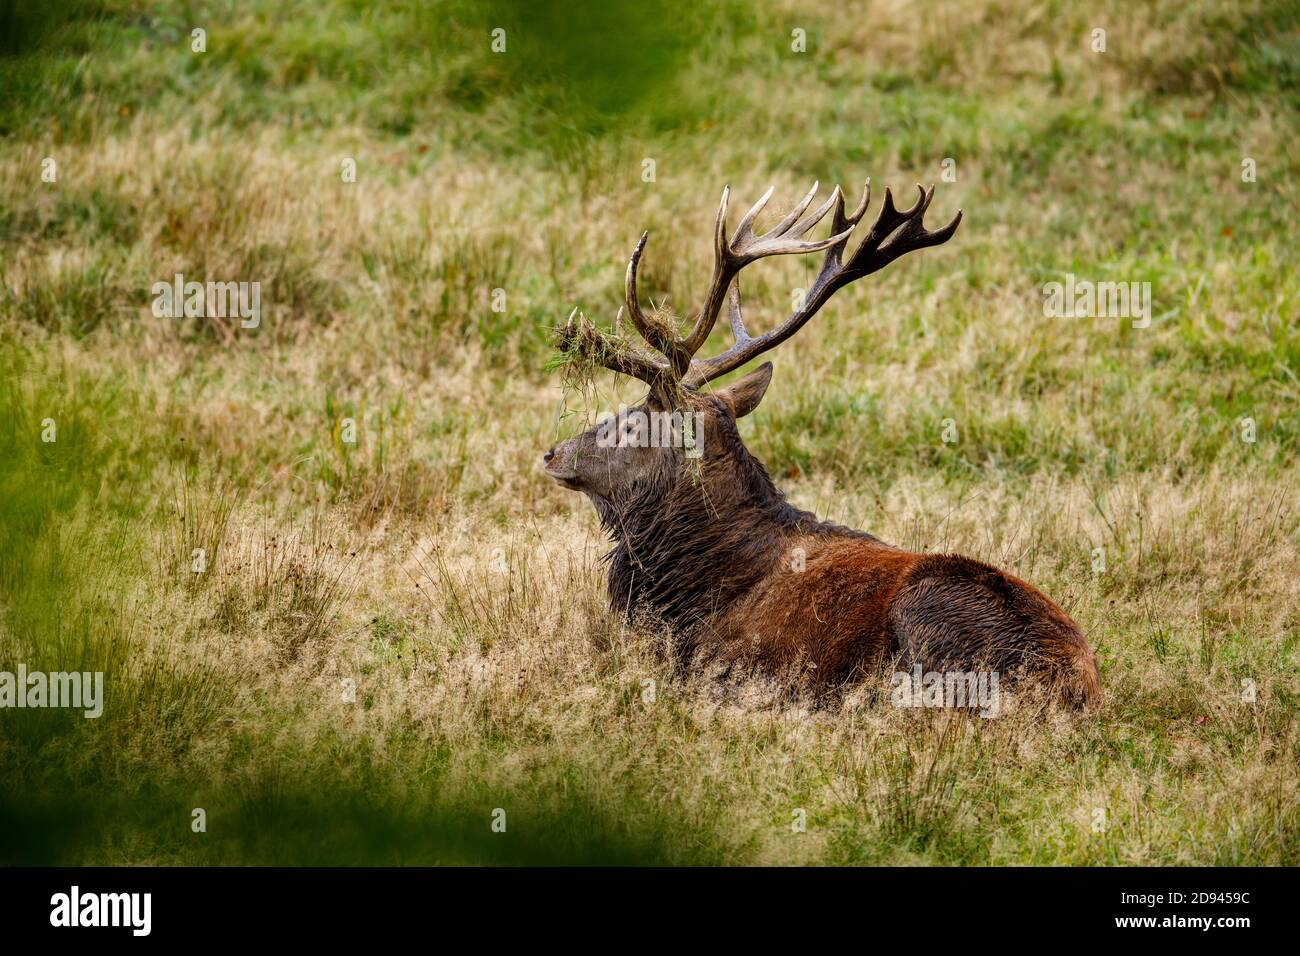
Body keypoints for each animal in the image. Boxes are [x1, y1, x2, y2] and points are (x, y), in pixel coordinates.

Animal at [544, 177, 1100, 708]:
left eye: (632, 422)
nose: (552, 453)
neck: (684, 576)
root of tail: (1077, 686)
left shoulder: (715, 655)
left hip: (928, 609)